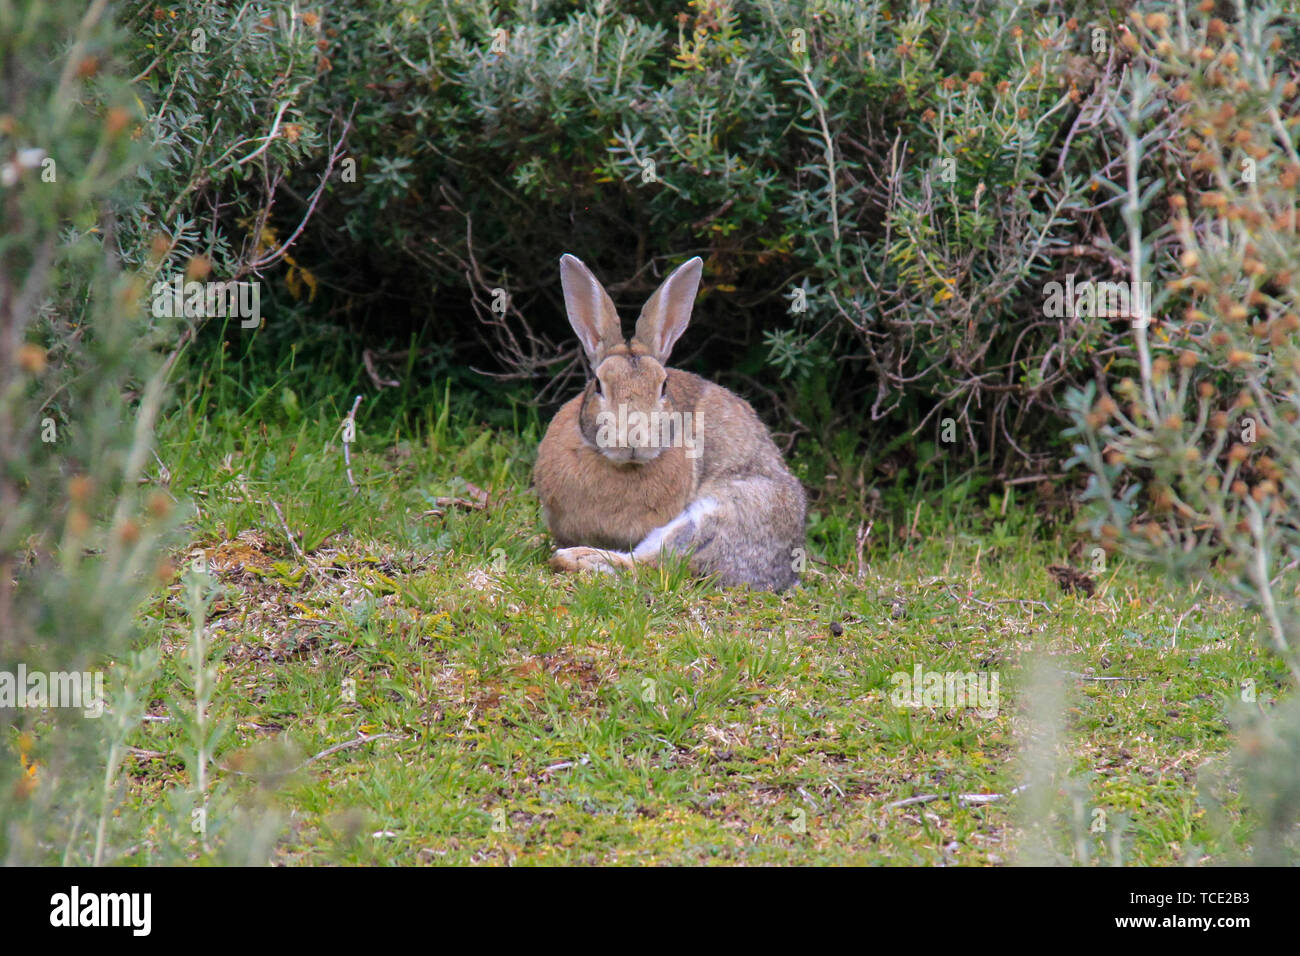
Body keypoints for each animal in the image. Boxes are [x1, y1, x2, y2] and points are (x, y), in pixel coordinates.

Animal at [533, 254, 807, 591]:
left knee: (651, 563)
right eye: (598, 384)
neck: (623, 467)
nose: (634, 439)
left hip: (717, 515)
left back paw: (574, 557)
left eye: (663, 386)